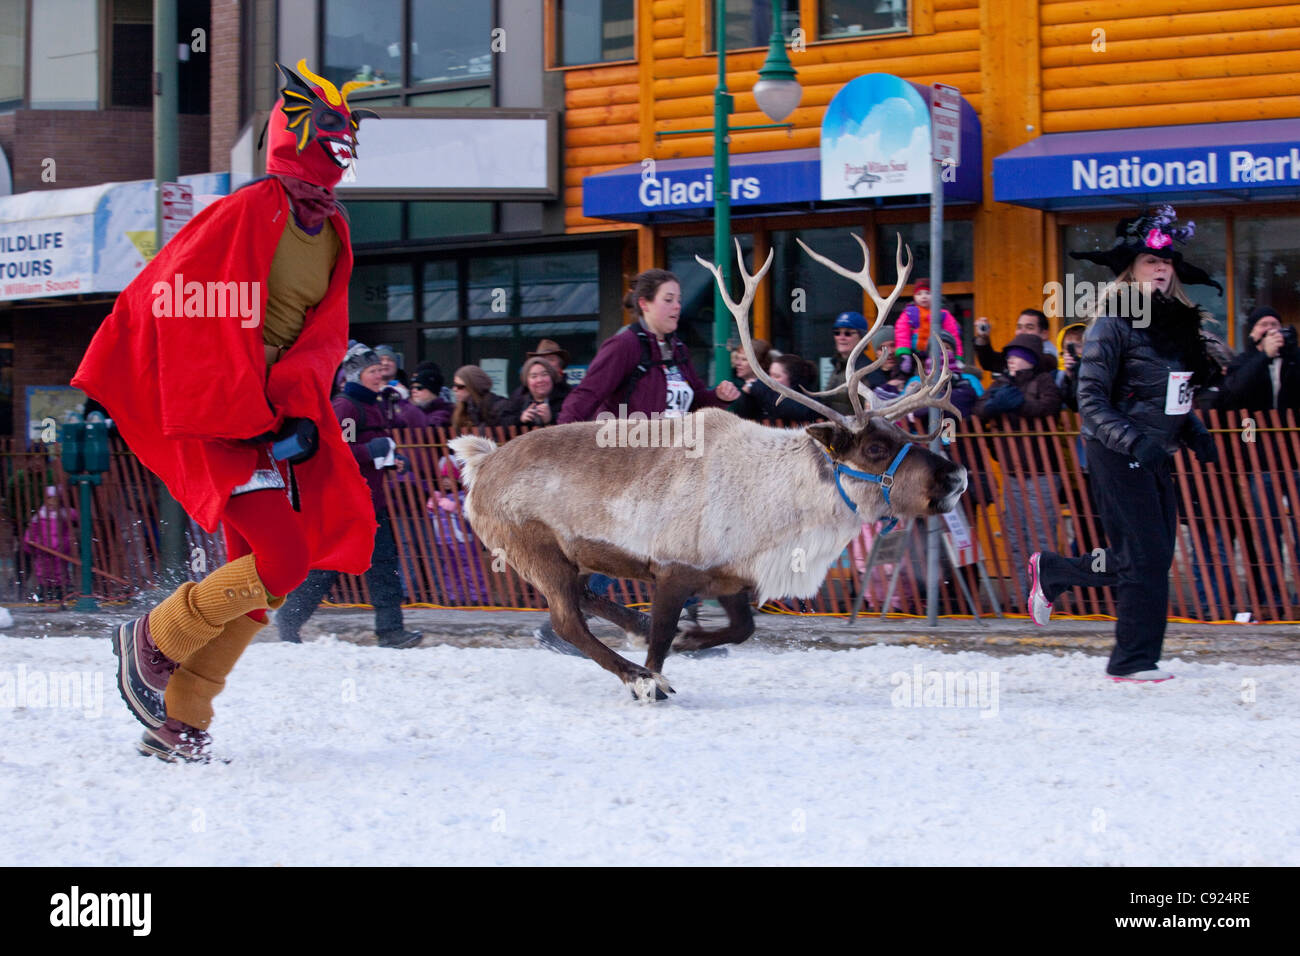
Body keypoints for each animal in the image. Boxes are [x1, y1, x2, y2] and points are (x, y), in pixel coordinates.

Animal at [450, 234, 967, 701]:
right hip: (537, 552)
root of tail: (482, 462)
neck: (781, 503)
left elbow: (741, 629)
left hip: (569, 559)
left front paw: (690, 638)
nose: (956, 476)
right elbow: (662, 645)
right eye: (875, 448)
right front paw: (656, 672)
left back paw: (633, 627)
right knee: (567, 620)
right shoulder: (673, 570)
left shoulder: (731, 577)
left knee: (584, 599)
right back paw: (636, 677)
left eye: (903, 435)